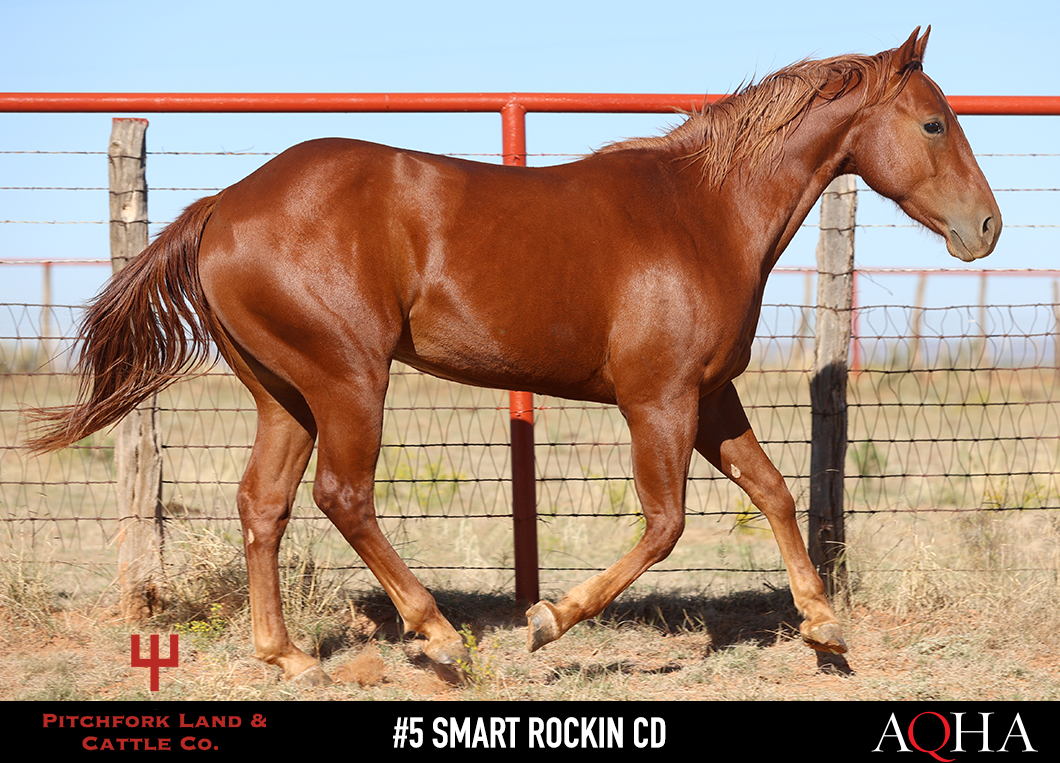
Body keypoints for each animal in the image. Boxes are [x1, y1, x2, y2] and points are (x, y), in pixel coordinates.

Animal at [26, 27, 1000, 684]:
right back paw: (439, 635)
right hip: (349, 379)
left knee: (262, 504)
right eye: (934, 123)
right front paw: (546, 620)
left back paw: (290, 656)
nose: (985, 227)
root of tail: (222, 205)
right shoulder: (659, 400)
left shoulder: (711, 396)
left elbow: (773, 490)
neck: (703, 213)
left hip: (285, 393)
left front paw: (824, 626)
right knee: (343, 496)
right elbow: (666, 523)